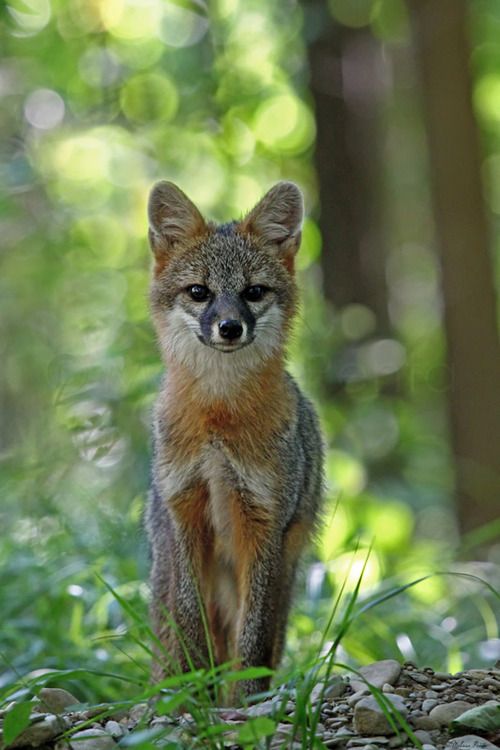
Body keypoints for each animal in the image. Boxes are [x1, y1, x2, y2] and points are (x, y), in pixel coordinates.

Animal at [145, 180, 323, 701]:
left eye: (253, 292)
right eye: (199, 292)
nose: (229, 327)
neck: (218, 420)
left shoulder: (263, 524)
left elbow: (253, 632)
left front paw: (244, 701)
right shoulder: (185, 513)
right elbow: (190, 618)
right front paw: (191, 694)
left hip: (286, 571)